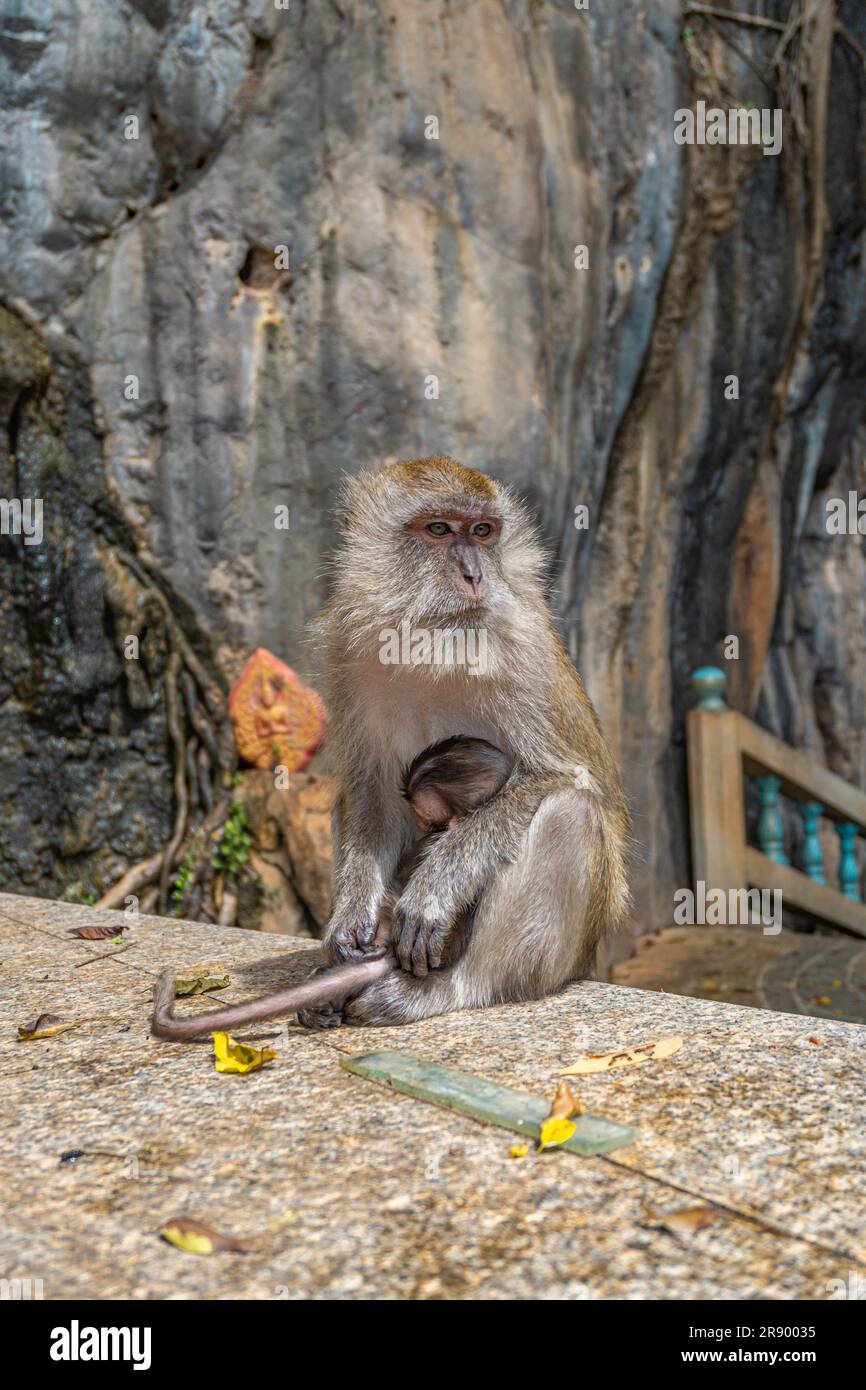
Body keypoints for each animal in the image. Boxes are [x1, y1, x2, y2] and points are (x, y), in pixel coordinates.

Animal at [301, 455, 631, 1029]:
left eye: (482, 532)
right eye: (438, 529)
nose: (476, 575)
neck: (431, 642)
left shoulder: (524, 651)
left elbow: (556, 777)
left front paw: (436, 885)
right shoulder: (347, 651)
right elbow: (369, 790)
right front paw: (350, 920)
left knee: (569, 812)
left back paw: (448, 989)